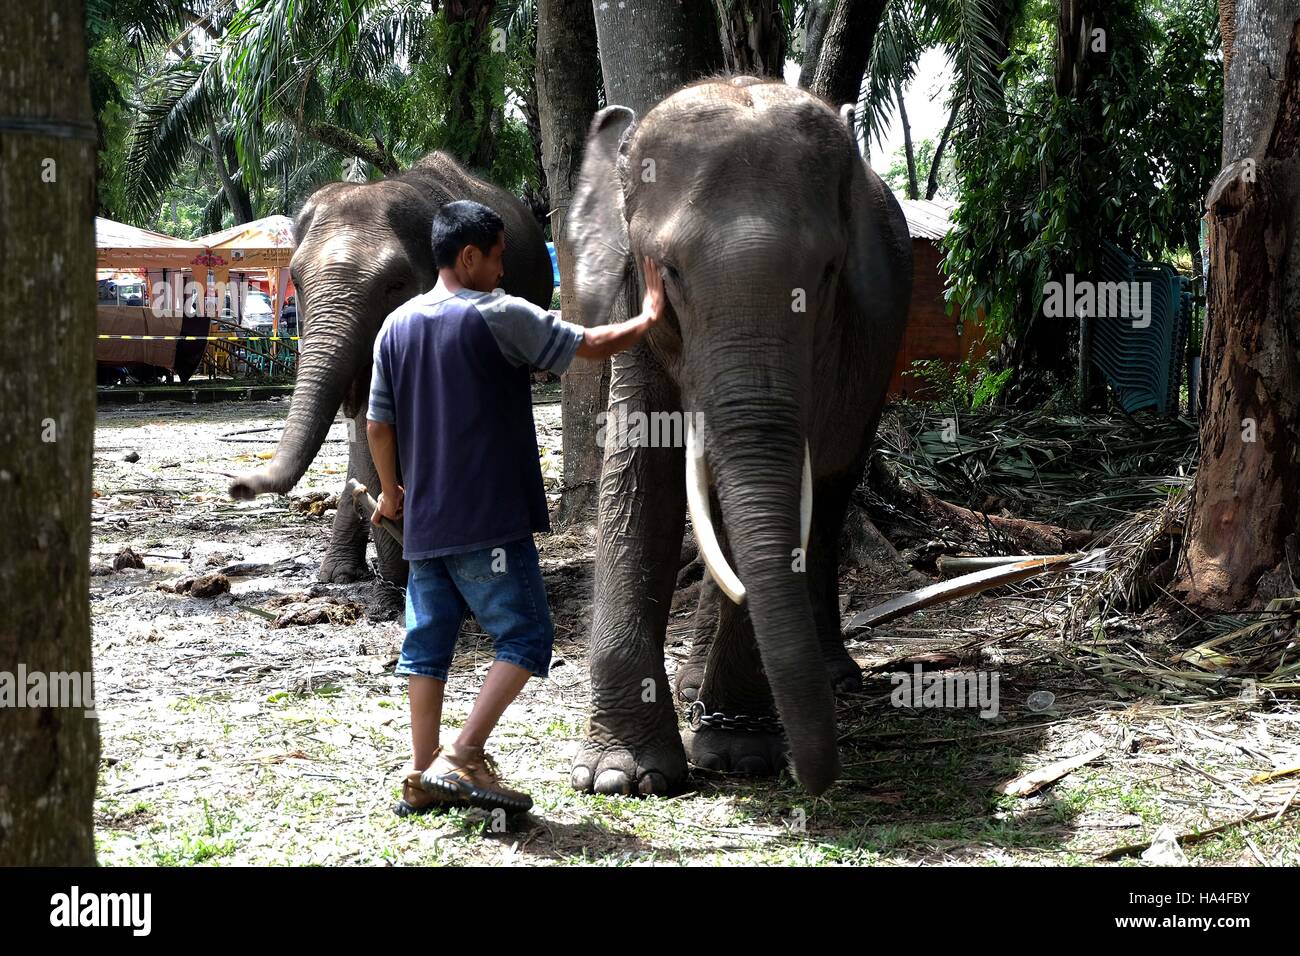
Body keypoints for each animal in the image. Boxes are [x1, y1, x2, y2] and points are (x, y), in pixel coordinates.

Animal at [564, 77, 912, 797]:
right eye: (666, 270)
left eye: (828, 273)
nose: (818, 779)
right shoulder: (632, 316)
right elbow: (640, 481)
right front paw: (619, 778)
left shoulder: (837, 343)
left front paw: (738, 757)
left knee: (831, 493)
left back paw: (825, 678)